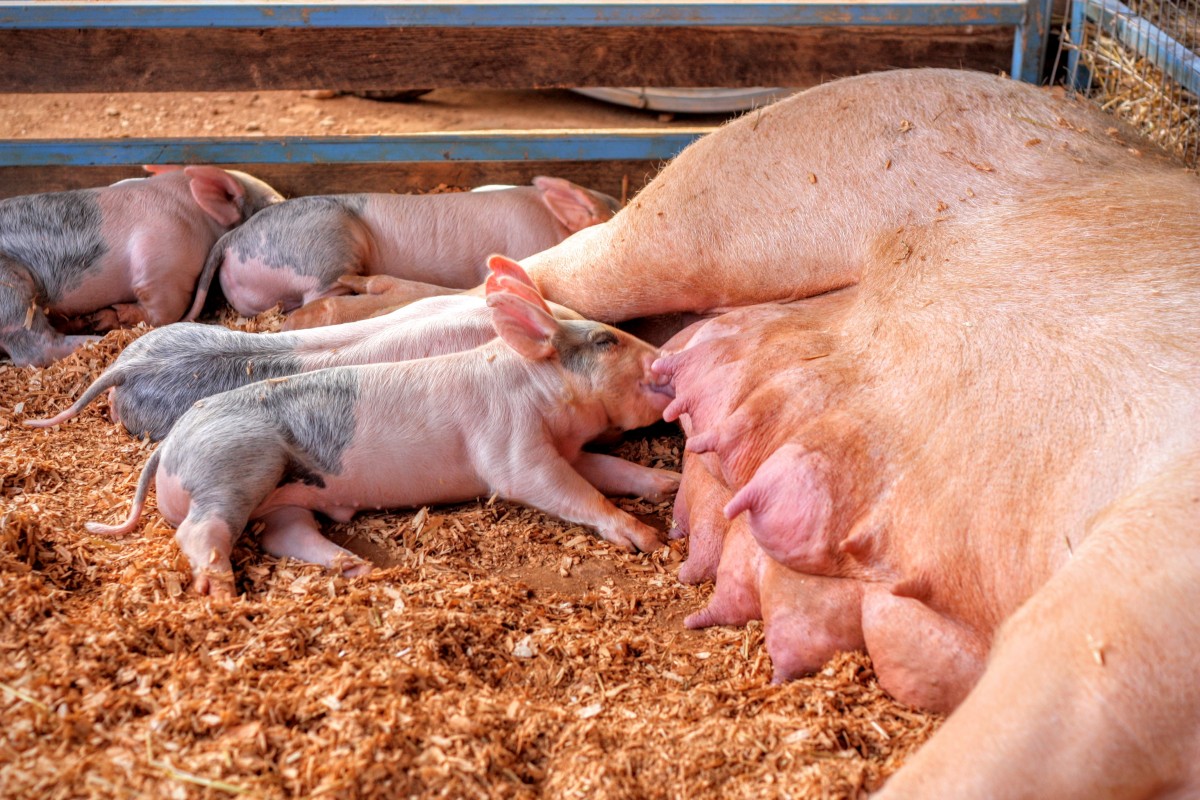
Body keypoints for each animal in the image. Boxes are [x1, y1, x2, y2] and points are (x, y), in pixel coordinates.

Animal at [0, 165, 283, 367]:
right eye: (271, 202)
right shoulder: (162, 265)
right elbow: (163, 311)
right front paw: (114, 316)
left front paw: (101, 317)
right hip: (10, 286)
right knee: (33, 348)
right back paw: (95, 339)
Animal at [86, 262, 678, 597]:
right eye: (606, 341)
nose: (665, 358)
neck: (534, 387)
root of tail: (169, 449)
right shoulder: (514, 449)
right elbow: (562, 488)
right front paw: (646, 538)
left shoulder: (570, 450)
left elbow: (609, 468)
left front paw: (669, 487)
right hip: (233, 465)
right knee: (199, 529)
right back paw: (221, 591)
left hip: (284, 497)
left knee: (283, 533)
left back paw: (355, 567)